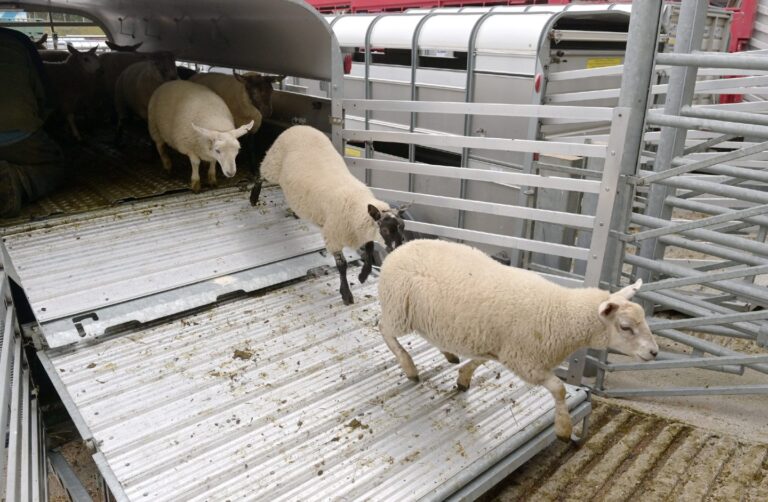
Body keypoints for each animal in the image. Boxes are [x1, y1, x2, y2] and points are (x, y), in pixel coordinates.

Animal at [251, 125, 408, 305]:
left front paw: (363, 276)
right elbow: (342, 265)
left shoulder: (362, 231)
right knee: (260, 172)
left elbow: (369, 250)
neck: (356, 205)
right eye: (386, 230)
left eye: (403, 227)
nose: (399, 248)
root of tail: (299, 126)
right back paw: (253, 198)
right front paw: (346, 294)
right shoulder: (332, 235)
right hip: (273, 161)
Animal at [377, 239, 659, 442]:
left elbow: (478, 361)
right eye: (625, 327)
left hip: (428, 316)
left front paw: (463, 377)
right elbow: (559, 389)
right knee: (384, 329)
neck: (560, 313)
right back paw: (409, 366)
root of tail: (400, 248)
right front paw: (564, 430)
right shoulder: (527, 362)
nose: (655, 352)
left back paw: (449, 354)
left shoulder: (503, 348)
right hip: (398, 309)